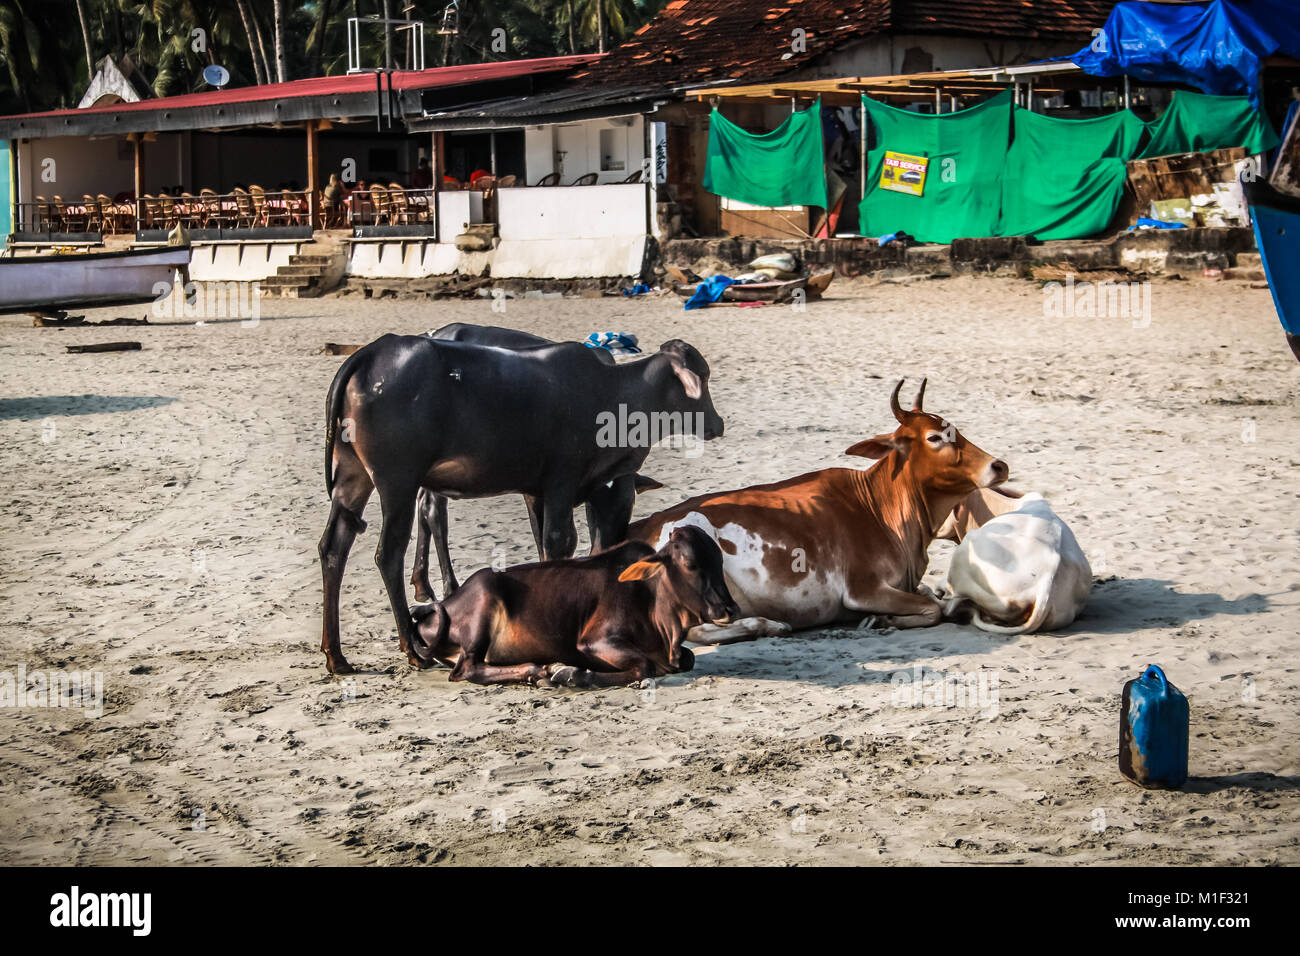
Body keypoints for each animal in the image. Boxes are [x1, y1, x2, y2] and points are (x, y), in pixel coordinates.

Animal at [411, 323, 660, 602]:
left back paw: (421, 584)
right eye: (595, 505)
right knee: (433, 511)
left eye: (628, 505)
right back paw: (449, 586)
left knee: (420, 504)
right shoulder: (539, 491)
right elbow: (549, 540)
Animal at [411, 525, 741, 688]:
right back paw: (538, 671)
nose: (731, 610)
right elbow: (645, 667)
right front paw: (573, 674)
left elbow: (688, 658)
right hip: (483, 602)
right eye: (690, 563)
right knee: (466, 669)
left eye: (719, 558)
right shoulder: (594, 641)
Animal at [627, 379, 1008, 638]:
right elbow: (932, 609)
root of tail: (645, 526)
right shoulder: (863, 590)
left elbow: (935, 599)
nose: (999, 466)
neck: (880, 508)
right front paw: (882, 619)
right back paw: (768, 624)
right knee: (698, 630)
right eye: (934, 438)